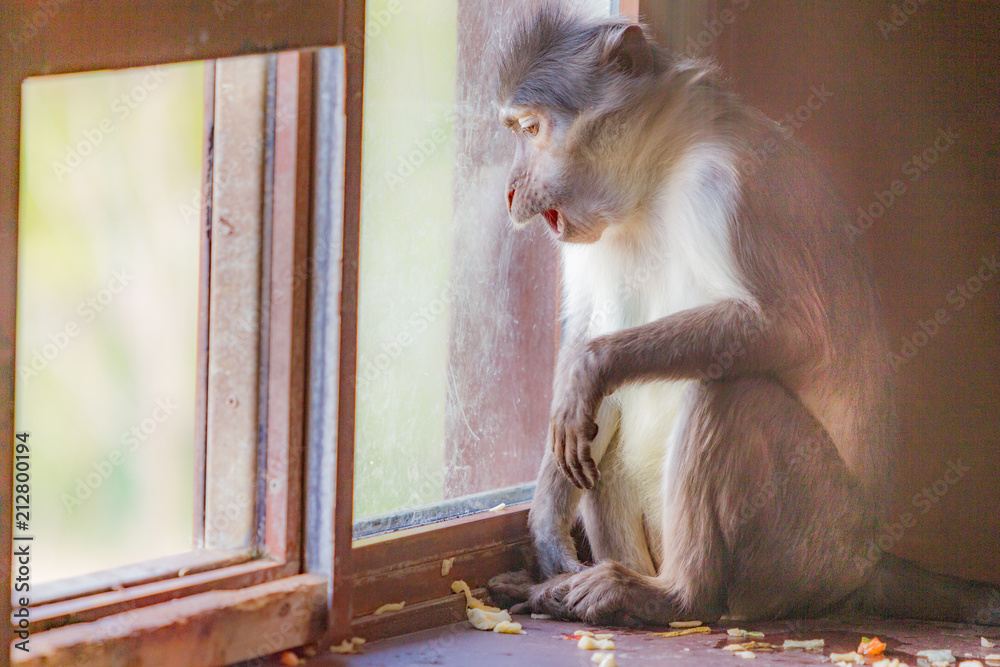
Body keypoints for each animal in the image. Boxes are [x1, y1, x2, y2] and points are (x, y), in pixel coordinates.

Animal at [486, 6, 1000, 627]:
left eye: (532, 130)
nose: (512, 191)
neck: (656, 178)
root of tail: (865, 561)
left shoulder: (724, 186)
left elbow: (794, 333)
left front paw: (593, 366)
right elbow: (586, 336)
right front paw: (546, 531)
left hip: (811, 541)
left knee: (732, 394)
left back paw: (676, 596)